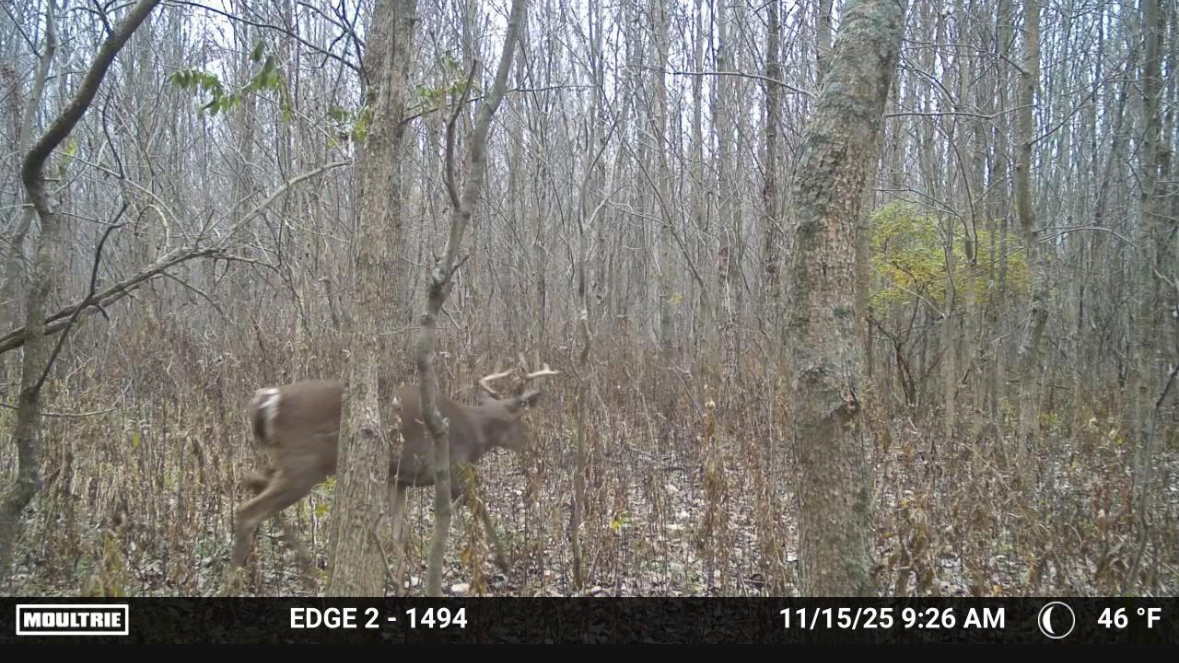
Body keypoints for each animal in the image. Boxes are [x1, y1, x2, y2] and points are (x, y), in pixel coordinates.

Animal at [229, 357, 559, 585]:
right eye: (523, 422)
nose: (531, 446)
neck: (475, 431)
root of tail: (265, 400)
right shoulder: (451, 468)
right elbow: (481, 509)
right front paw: (504, 562)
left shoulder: (398, 478)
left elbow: (399, 531)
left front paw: (401, 577)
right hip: (304, 463)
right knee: (248, 511)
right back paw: (240, 575)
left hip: (283, 460)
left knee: (251, 482)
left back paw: (302, 566)